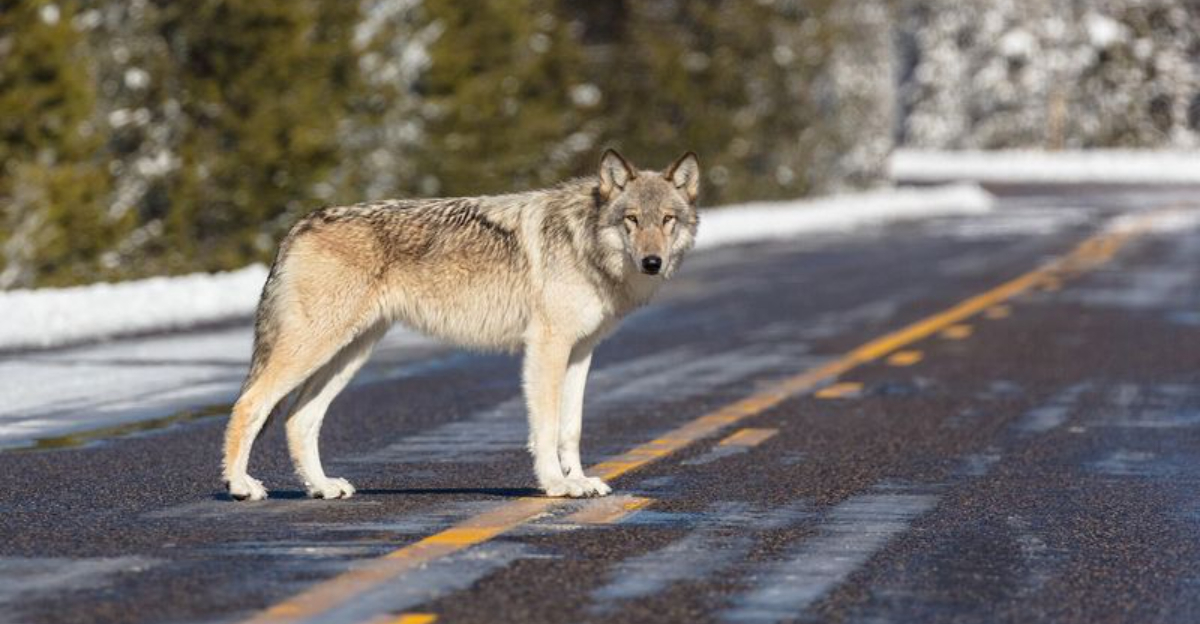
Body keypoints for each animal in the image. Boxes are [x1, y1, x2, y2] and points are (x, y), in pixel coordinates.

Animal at [221, 149, 700, 501]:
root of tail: (301, 223)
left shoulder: (581, 351)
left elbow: (571, 428)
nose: (652, 262)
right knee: (250, 403)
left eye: (667, 220)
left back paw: (322, 487)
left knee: (298, 419)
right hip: (316, 348)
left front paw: (579, 480)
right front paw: (556, 485)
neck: (584, 242)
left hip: (349, 354)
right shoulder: (547, 347)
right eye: (632, 219)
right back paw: (241, 486)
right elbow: (546, 427)